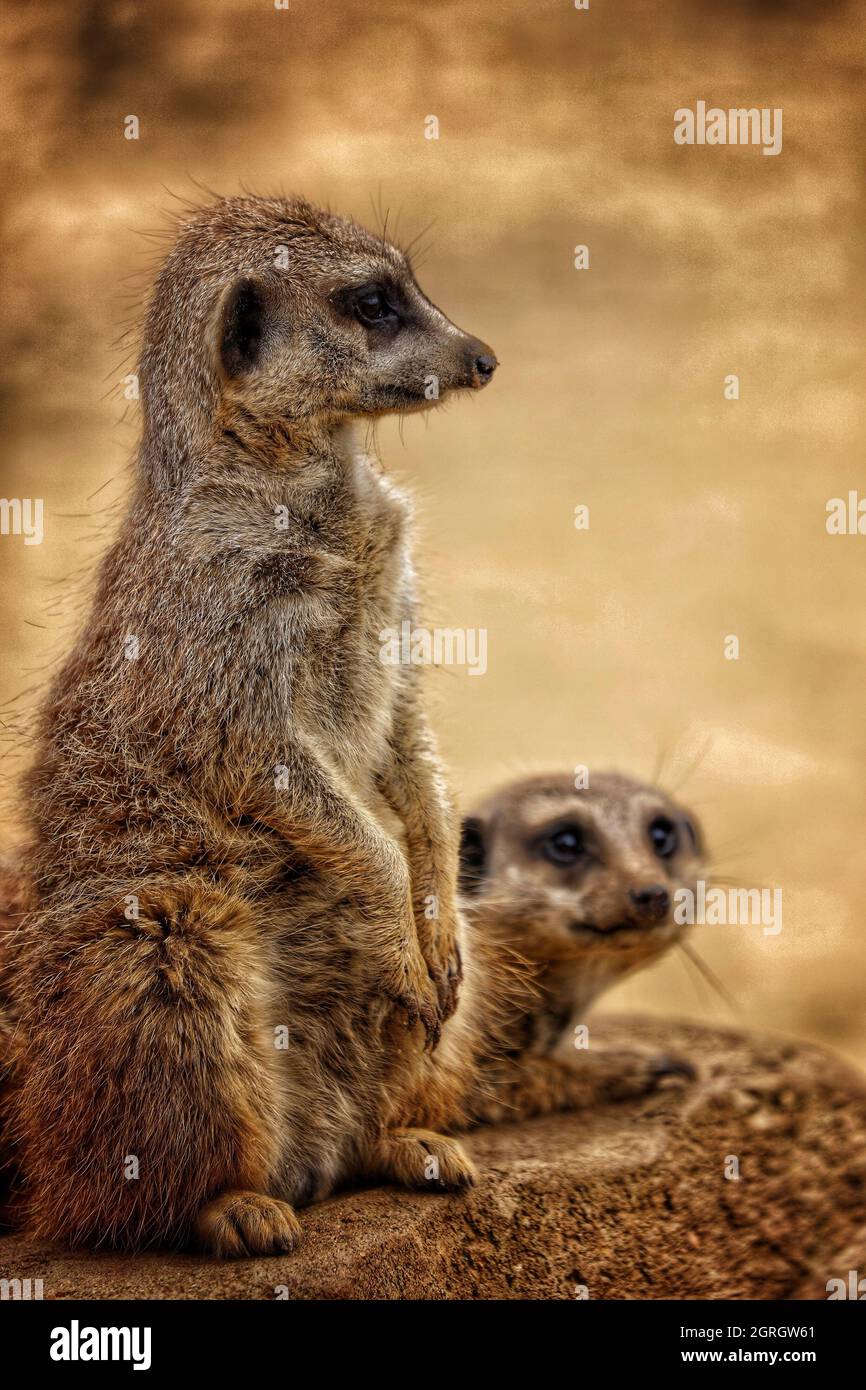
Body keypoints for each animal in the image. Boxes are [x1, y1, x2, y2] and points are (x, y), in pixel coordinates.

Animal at [8, 195, 497, 1255]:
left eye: (411, 283)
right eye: (371, 302)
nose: (484, 358)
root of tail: (302, 1160)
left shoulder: (395, 599)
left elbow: (408, 733)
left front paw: (429, 910)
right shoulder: (217, 610)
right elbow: (255, 753)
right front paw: (393, 891)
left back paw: (406, 1138)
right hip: (158, 946)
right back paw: (226, 1204)